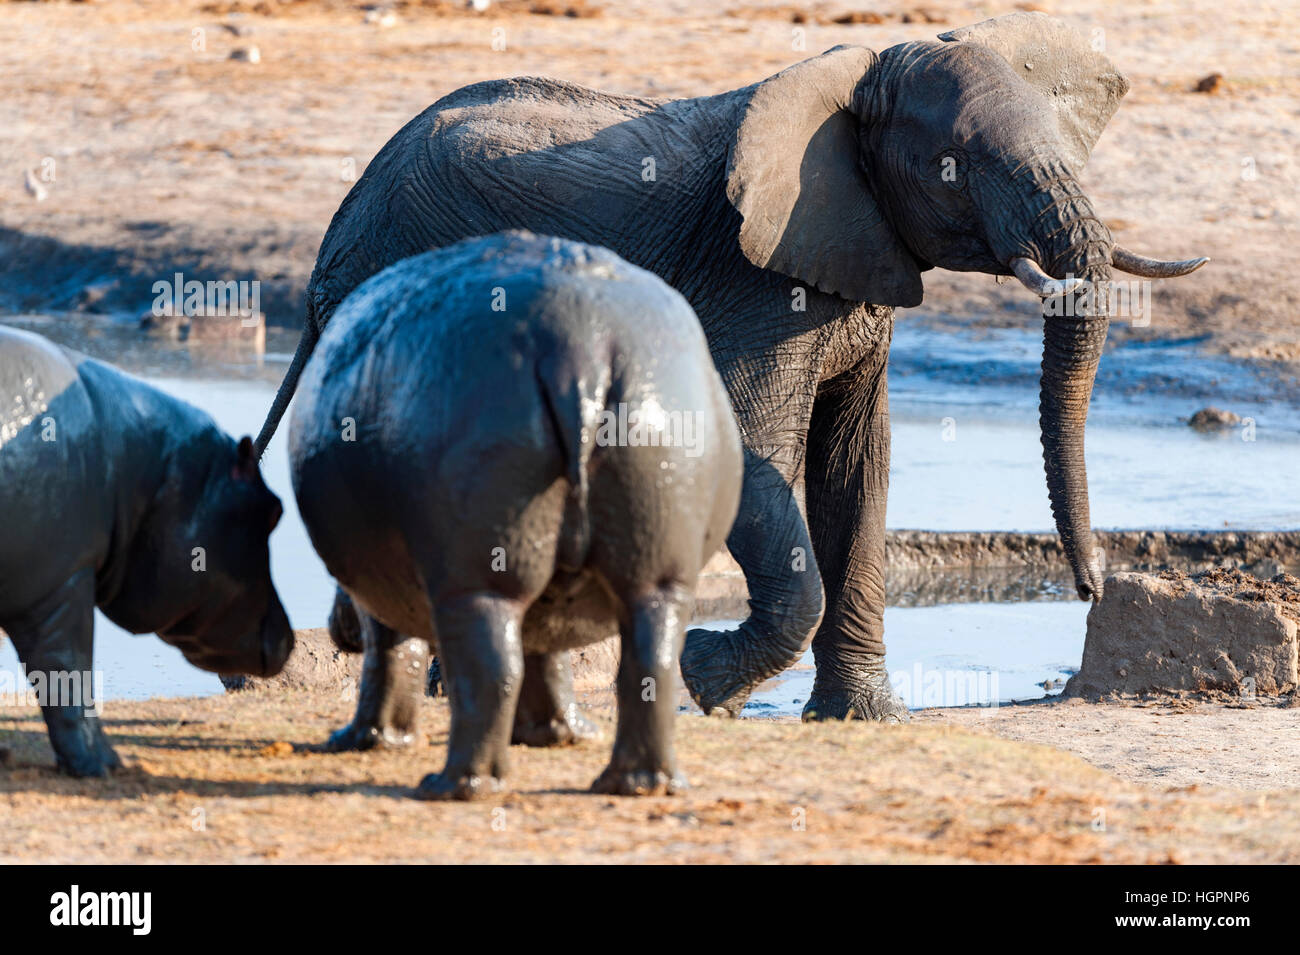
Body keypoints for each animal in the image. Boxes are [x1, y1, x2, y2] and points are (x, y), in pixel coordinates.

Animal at [256, 12, 1207, 724]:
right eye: (952, 168)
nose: (1089, 587)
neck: (857, 82)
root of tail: (341, 221)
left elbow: (857, 468)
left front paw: (861, 717)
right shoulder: (757, 282)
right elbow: (760, 457)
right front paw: (703, 680)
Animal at [290, 232, 743, 798]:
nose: (335, 628)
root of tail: (580, 343)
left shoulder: (378, 585)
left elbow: (392, 657)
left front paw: (363, 741)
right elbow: (548, 655)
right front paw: (560, 735)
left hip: (477, 577)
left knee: (488, 668)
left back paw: (453, 785)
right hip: (657, 557)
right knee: (649, 660)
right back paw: (636, 783)